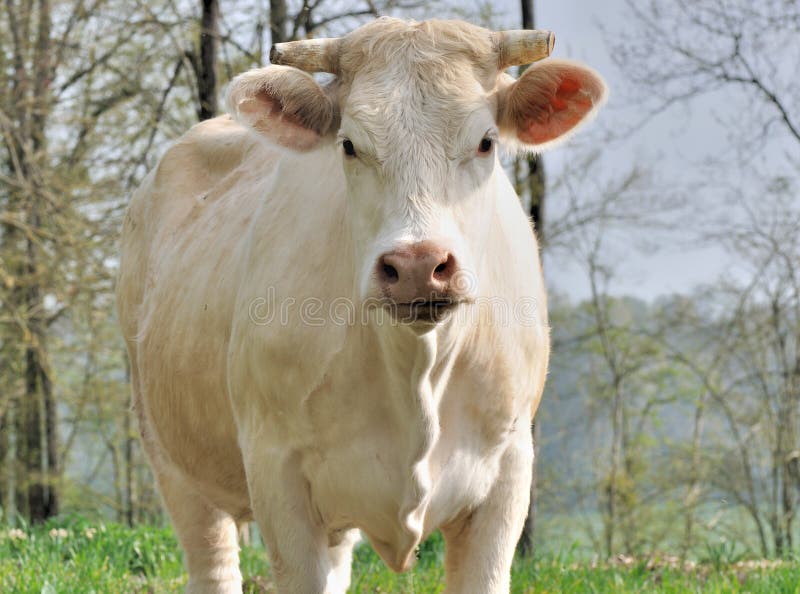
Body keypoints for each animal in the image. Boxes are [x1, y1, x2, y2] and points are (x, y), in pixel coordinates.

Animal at [116, 17, 606, 594]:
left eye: (486, 142)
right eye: (349, 144)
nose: (418, 264)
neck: (414, 369)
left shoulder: (508, 471)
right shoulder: (275, 469)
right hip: (170, 456)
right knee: (212, 561)